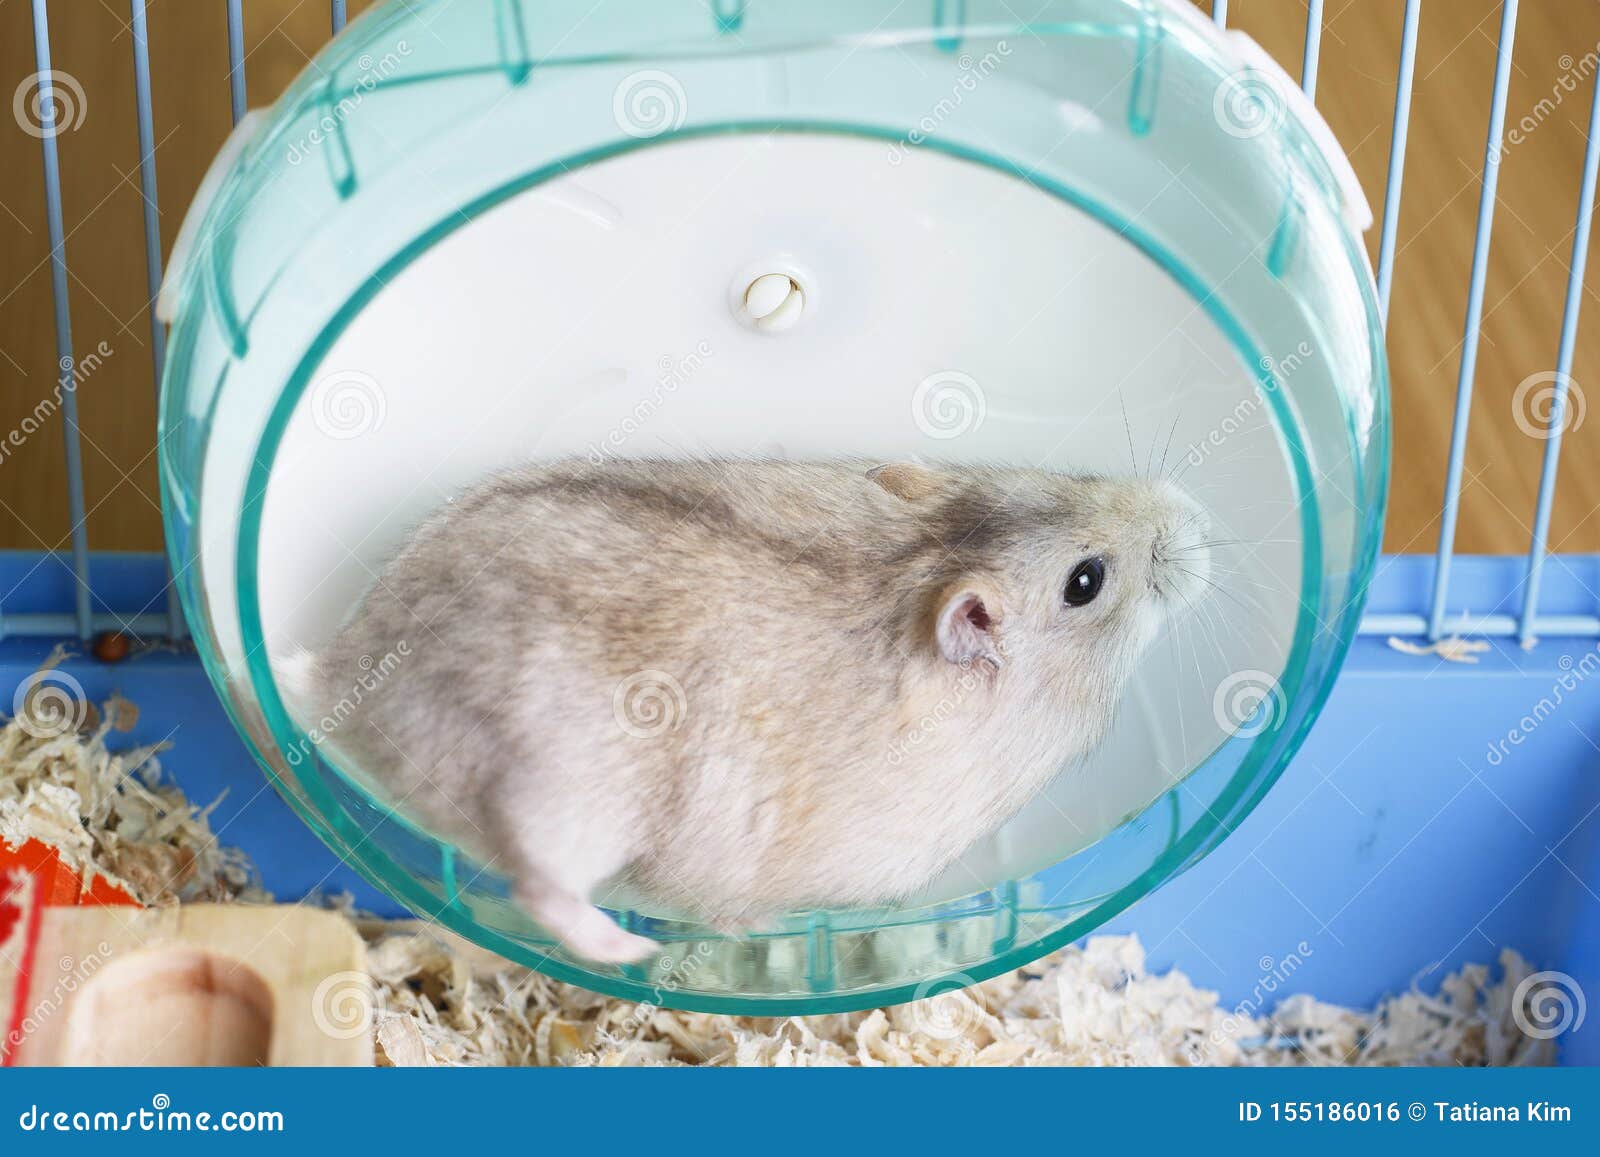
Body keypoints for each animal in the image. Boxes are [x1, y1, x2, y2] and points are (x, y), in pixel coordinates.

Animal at [277, 457, 1212, 963]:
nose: (1199, 518)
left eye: (1065, 475)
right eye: (1086, 580)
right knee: (542, 888)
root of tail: (343, 678)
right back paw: (635, 946)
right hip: (562, 800)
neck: (915, 566)